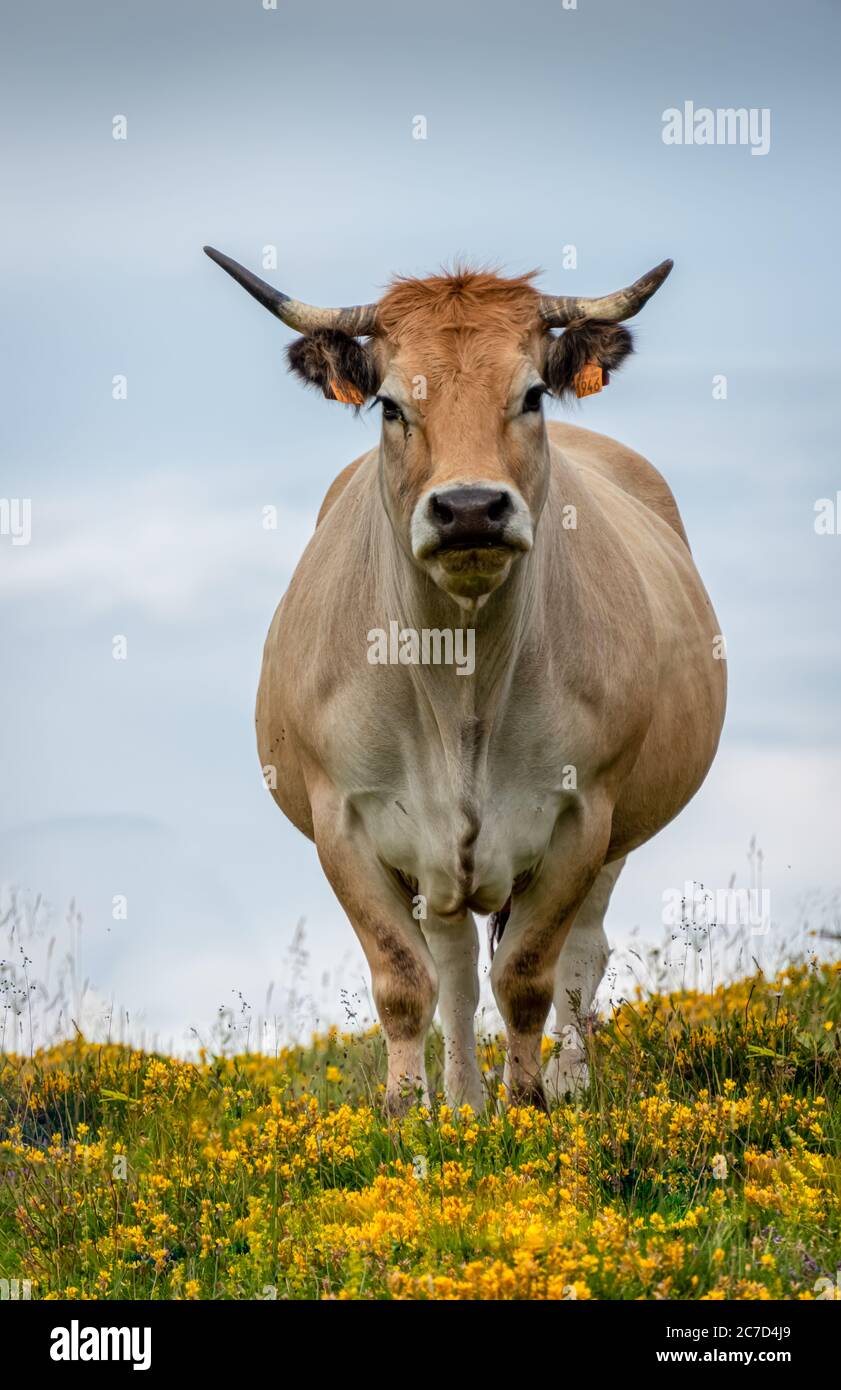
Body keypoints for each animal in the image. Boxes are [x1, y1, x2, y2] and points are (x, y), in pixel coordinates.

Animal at [204, 246, 726, 1113]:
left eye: (532, 393)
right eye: (388, 405)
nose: (472, 508)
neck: (462, 685)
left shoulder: (582, 817)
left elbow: (528, 977)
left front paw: (529, 1106)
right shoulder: (345, 824)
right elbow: (404, 982)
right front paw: (406, 1115)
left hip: (613, 834)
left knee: (582, 959)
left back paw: (566, 1083)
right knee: (452, 969)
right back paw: (459, 1103)